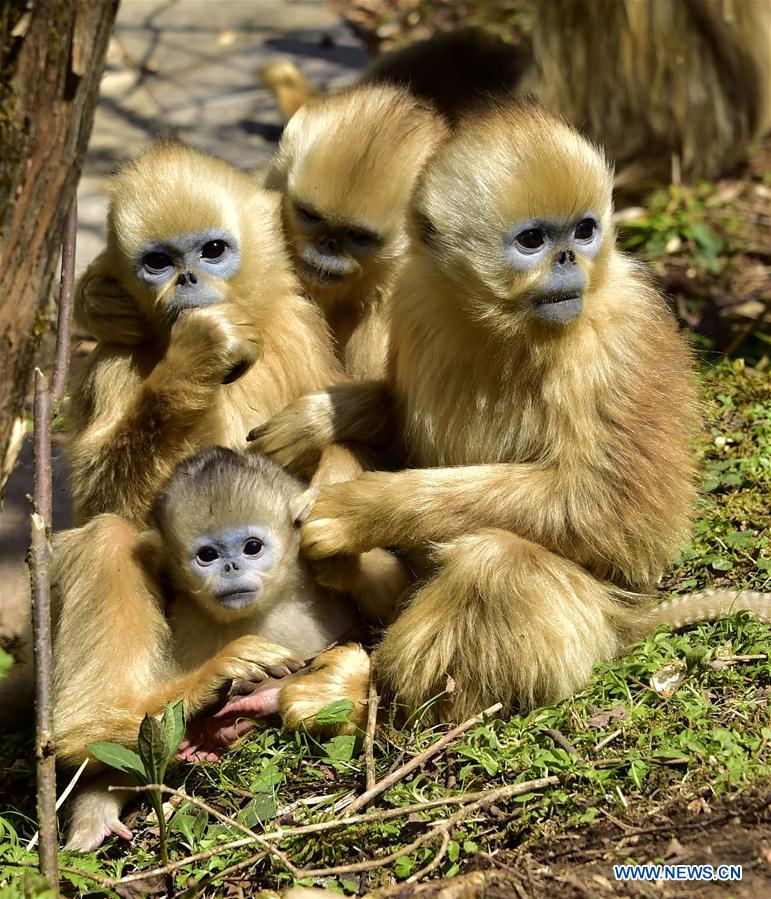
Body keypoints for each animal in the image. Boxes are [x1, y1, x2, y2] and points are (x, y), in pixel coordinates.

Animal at [249, 98, 771, 727]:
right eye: (533, 239)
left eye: (583, 230)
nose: (569, 257)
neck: (507, 327)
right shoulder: (415, 301)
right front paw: (317, 420)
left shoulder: (622, 333)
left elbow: (613, 512)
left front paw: (361, 507)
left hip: (597, 619)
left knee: (498, 563)